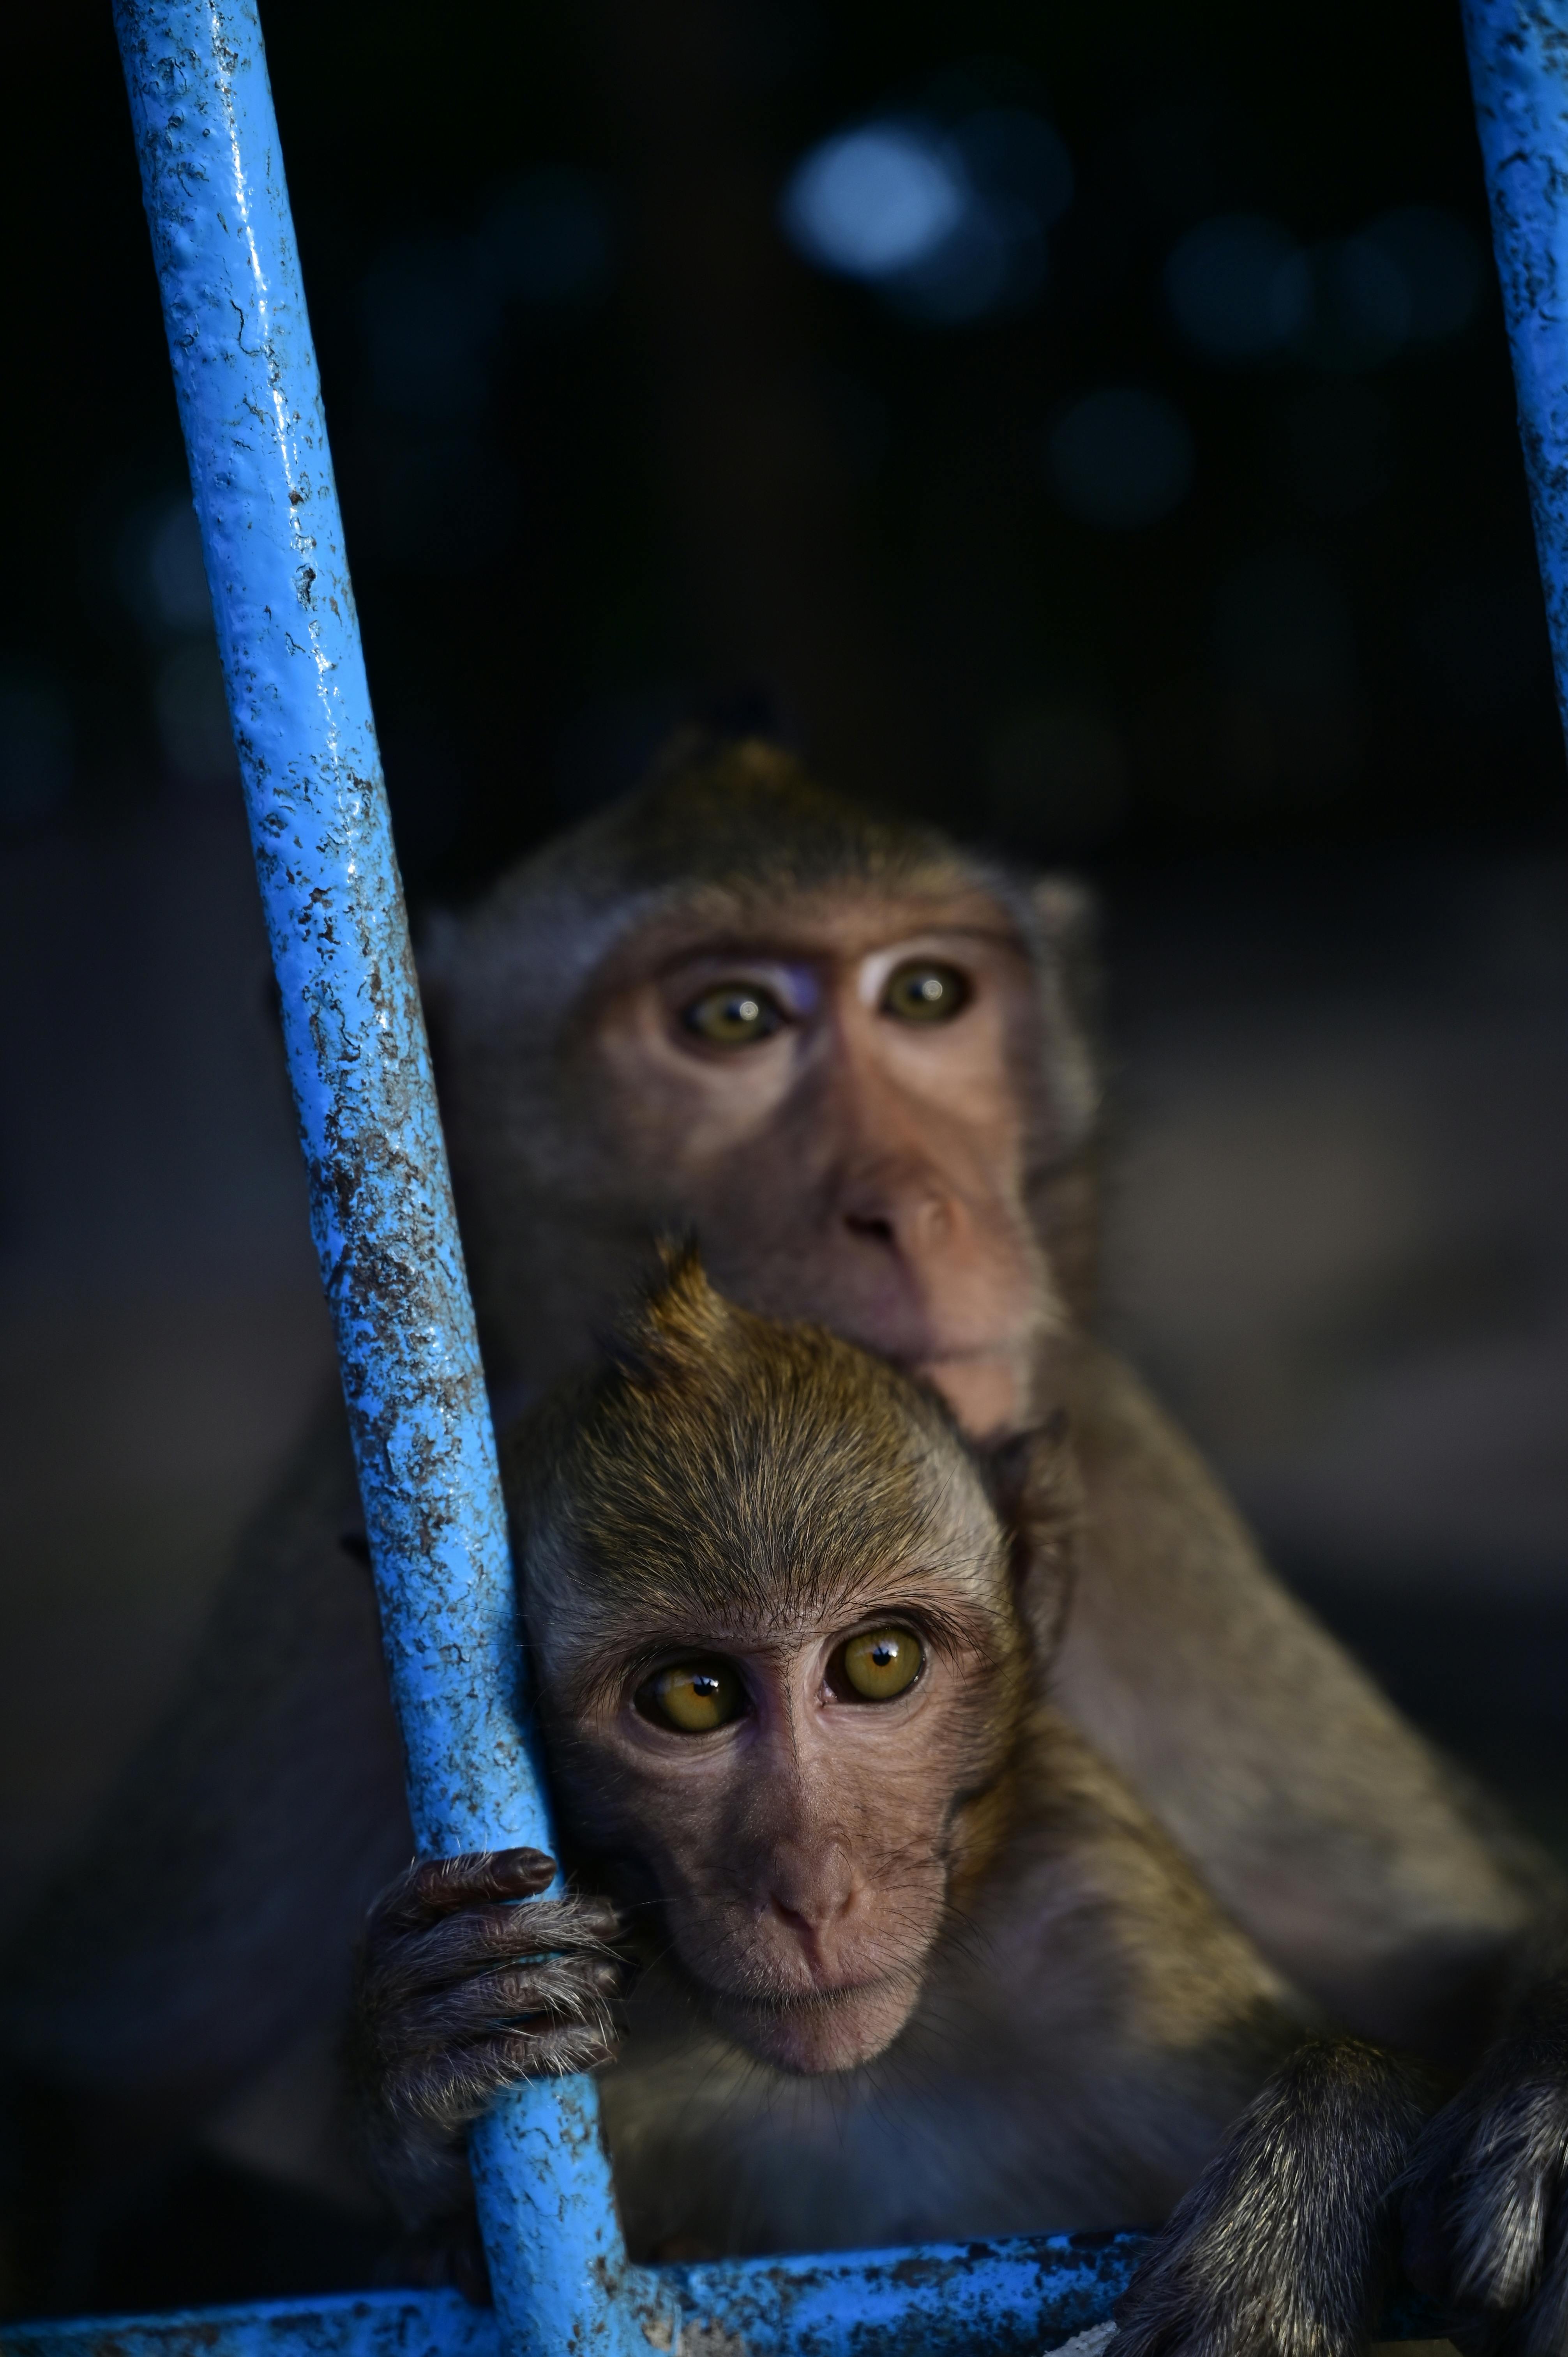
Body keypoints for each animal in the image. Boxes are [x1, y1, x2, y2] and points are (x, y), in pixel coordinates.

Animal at [353, 1246, 1436, 2357]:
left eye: (878, 1662)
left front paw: (1312, 2175)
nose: (812, 1893)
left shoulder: (1109, 1926)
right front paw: (419, 2052)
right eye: (693, 1694)